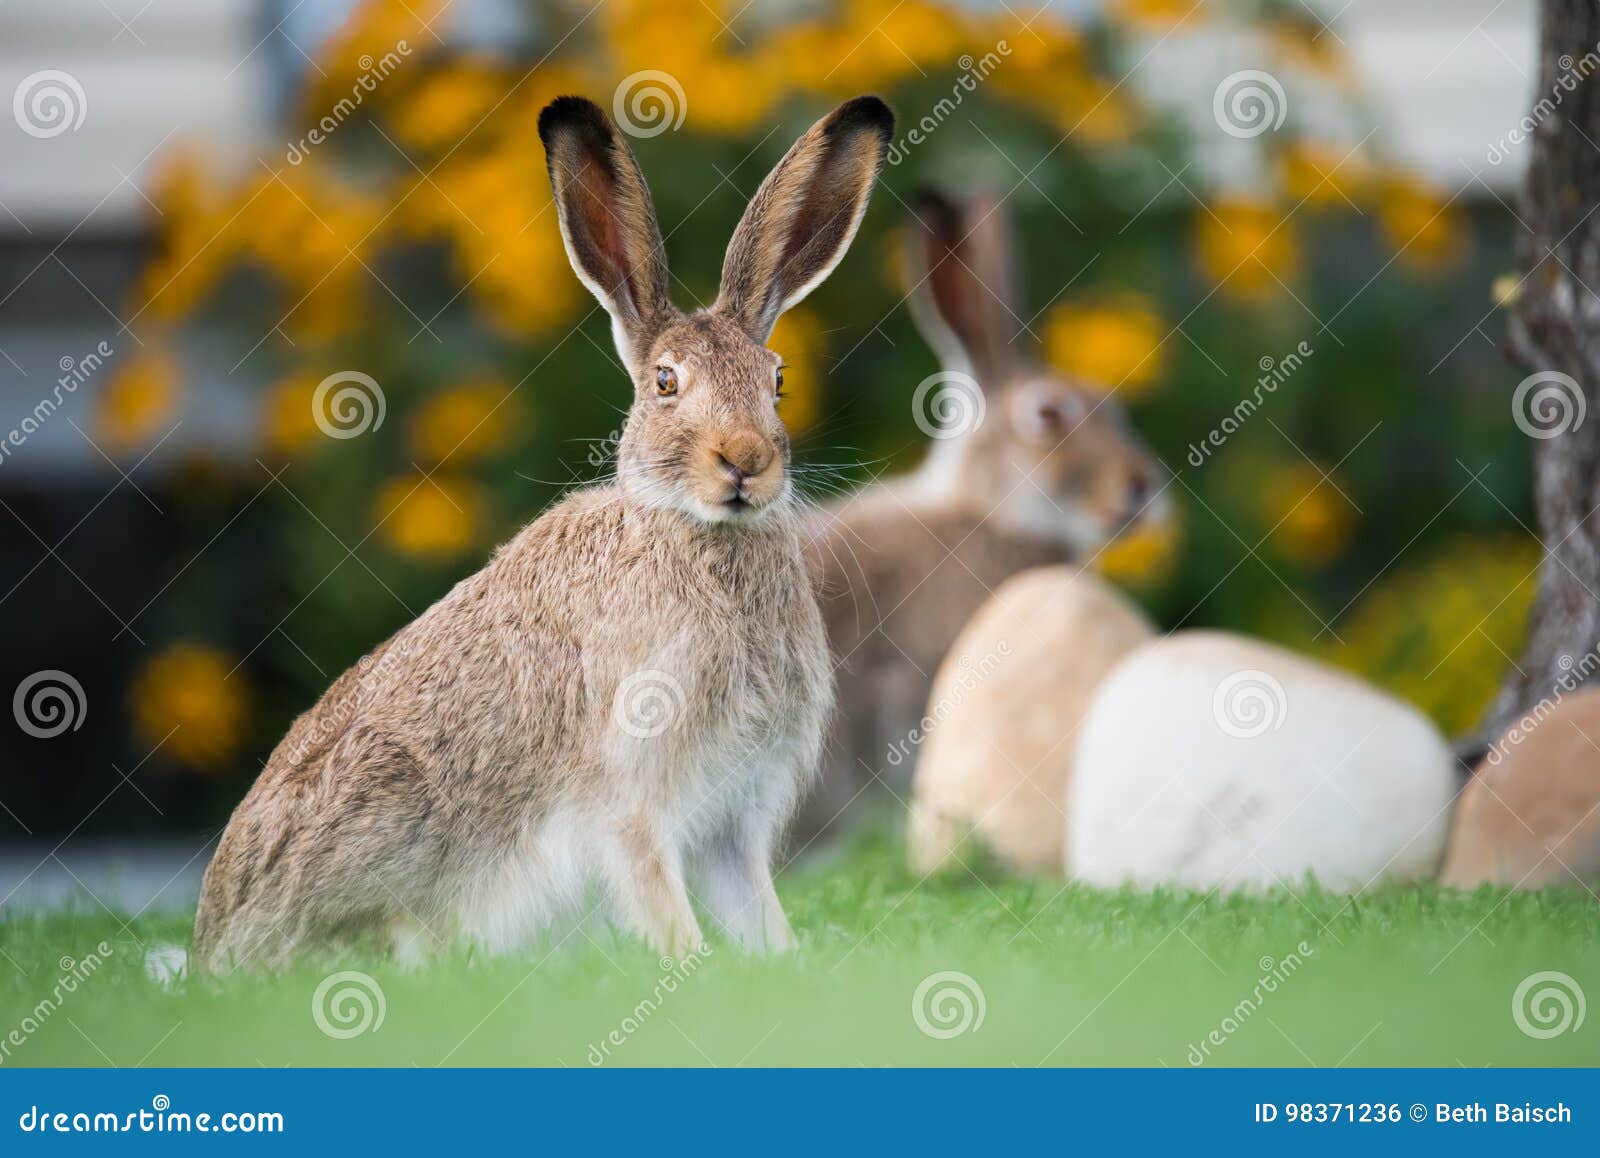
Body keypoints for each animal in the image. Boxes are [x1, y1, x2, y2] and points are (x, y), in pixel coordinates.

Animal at [192, 94, 895, 971]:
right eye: (666, 383)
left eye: (777, 382)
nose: (747, 460)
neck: (689, 533)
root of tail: (216, 941)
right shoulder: (631, 796)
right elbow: (655, 889)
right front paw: (686, 964)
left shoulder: (734, 821)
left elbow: (756, 912)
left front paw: (780, 961)